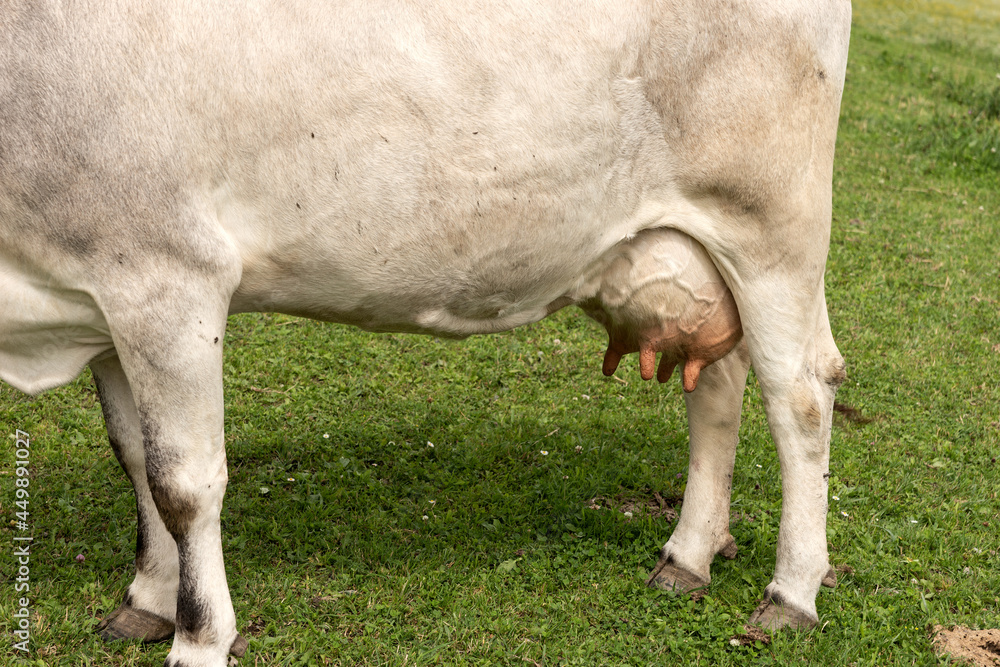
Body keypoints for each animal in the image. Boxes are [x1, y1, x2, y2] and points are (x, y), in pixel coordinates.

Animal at [0, 1, 852, 665]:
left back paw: (792, 591)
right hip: (698, 253)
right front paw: (146, 597)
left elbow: (182, 482)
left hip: (773, 228)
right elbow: (134, 459)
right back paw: (690, 552)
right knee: (719, 385)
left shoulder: (171, 276)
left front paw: (199, 635)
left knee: (802, 395)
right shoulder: (106, 296)